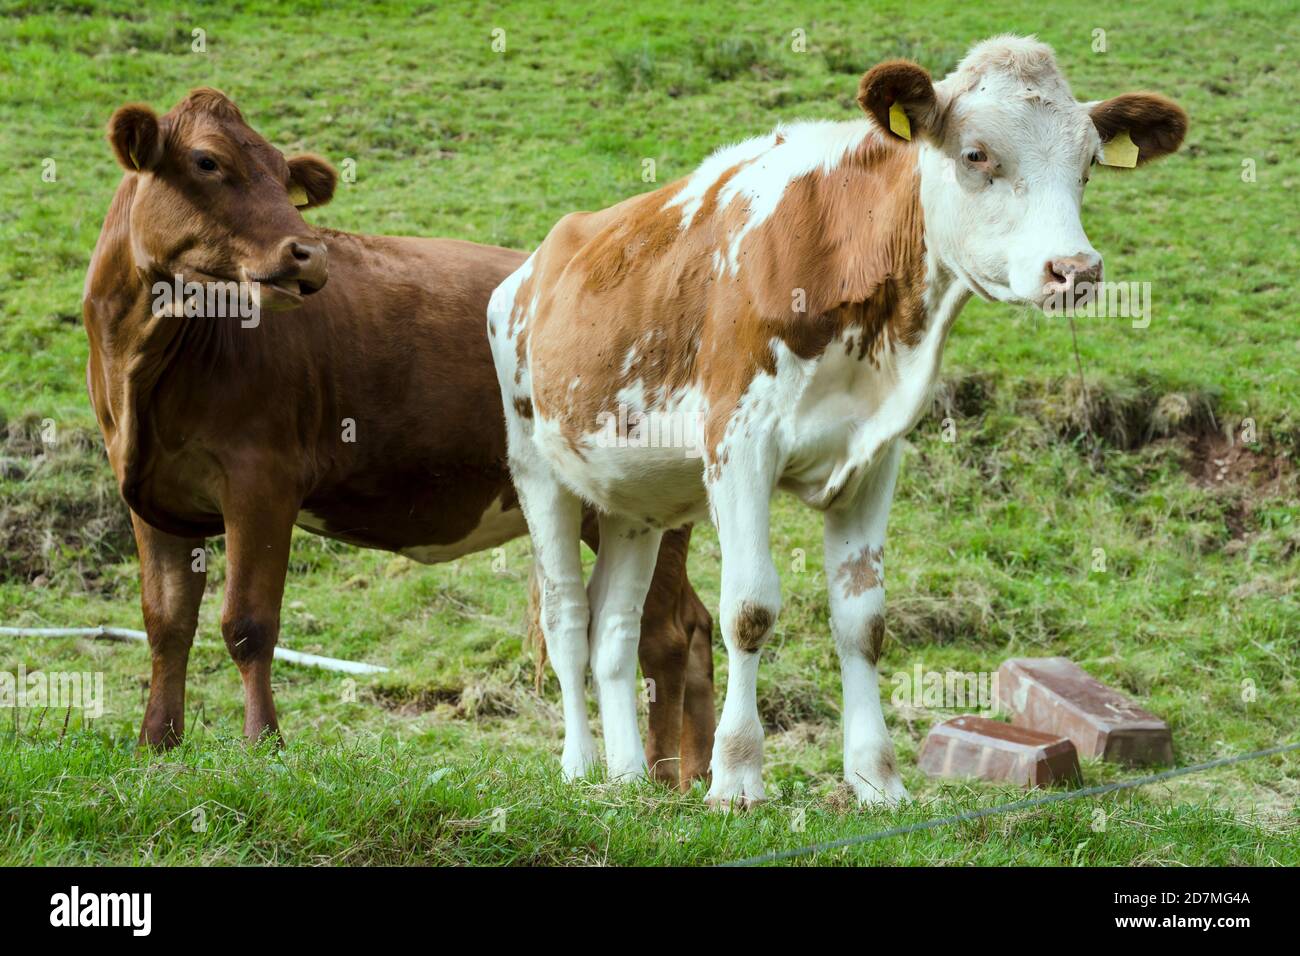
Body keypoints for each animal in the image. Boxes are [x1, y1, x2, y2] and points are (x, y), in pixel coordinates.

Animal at [82, 88, 715, 790]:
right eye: (206, 161)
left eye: (282, 176)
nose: (310, 254)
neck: (143, 365)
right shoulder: (150, 494)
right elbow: (165, 622)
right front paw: (155, 748)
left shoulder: (261, 479)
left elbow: (248, 622)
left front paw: (263, 748)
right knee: (694, 624)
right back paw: (702, 778)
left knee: (666, 633)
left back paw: (664, 779)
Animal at [488, 35, 1186, 806]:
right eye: (976, 154)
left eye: (1087, 163)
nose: (1076, 269)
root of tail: (535, 263)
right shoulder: (739, 444)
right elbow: (749, 610)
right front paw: (737, 778)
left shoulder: (876, 457)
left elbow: (863, 623)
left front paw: (878, 780)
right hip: (537, 469)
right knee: (567, 620)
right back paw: (579, 767)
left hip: (634, 499)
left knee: (614, 626)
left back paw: (628, 777)